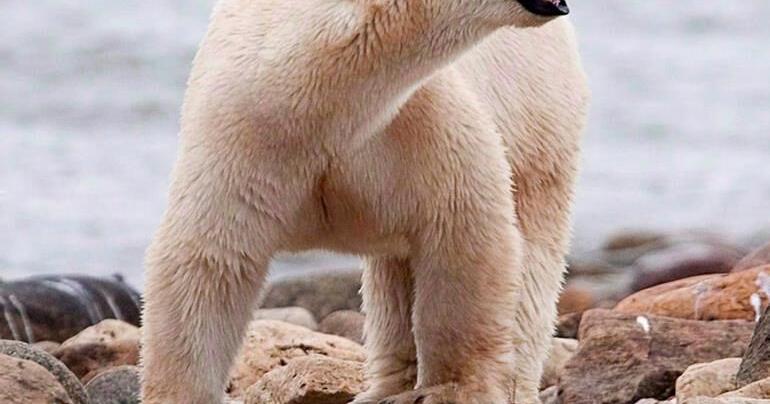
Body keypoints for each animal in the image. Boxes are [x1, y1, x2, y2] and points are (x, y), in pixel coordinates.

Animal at [139, 0, 589, 403]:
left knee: (532, 267)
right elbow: (211, 261)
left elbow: (464, 232)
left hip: (539, 126)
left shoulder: (419, 127)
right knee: (392, 277)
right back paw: (384, 388)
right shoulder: (244, 140)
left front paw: (455, 388)